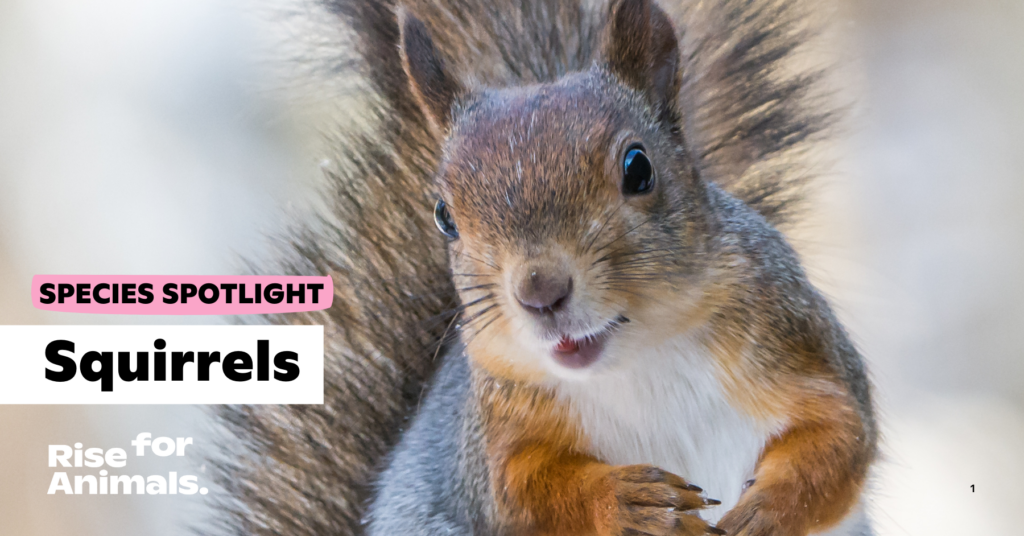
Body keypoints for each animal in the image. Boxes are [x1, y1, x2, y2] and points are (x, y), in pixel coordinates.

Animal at [211, 1, 878, 536]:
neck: (639, 358)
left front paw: (766, 509)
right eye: (443, 216)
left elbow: (841, 439)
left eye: (639, 168)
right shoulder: (500, 430)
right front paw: (626, 503)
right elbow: (527, 492)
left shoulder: (793, 339)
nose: (540, 292)